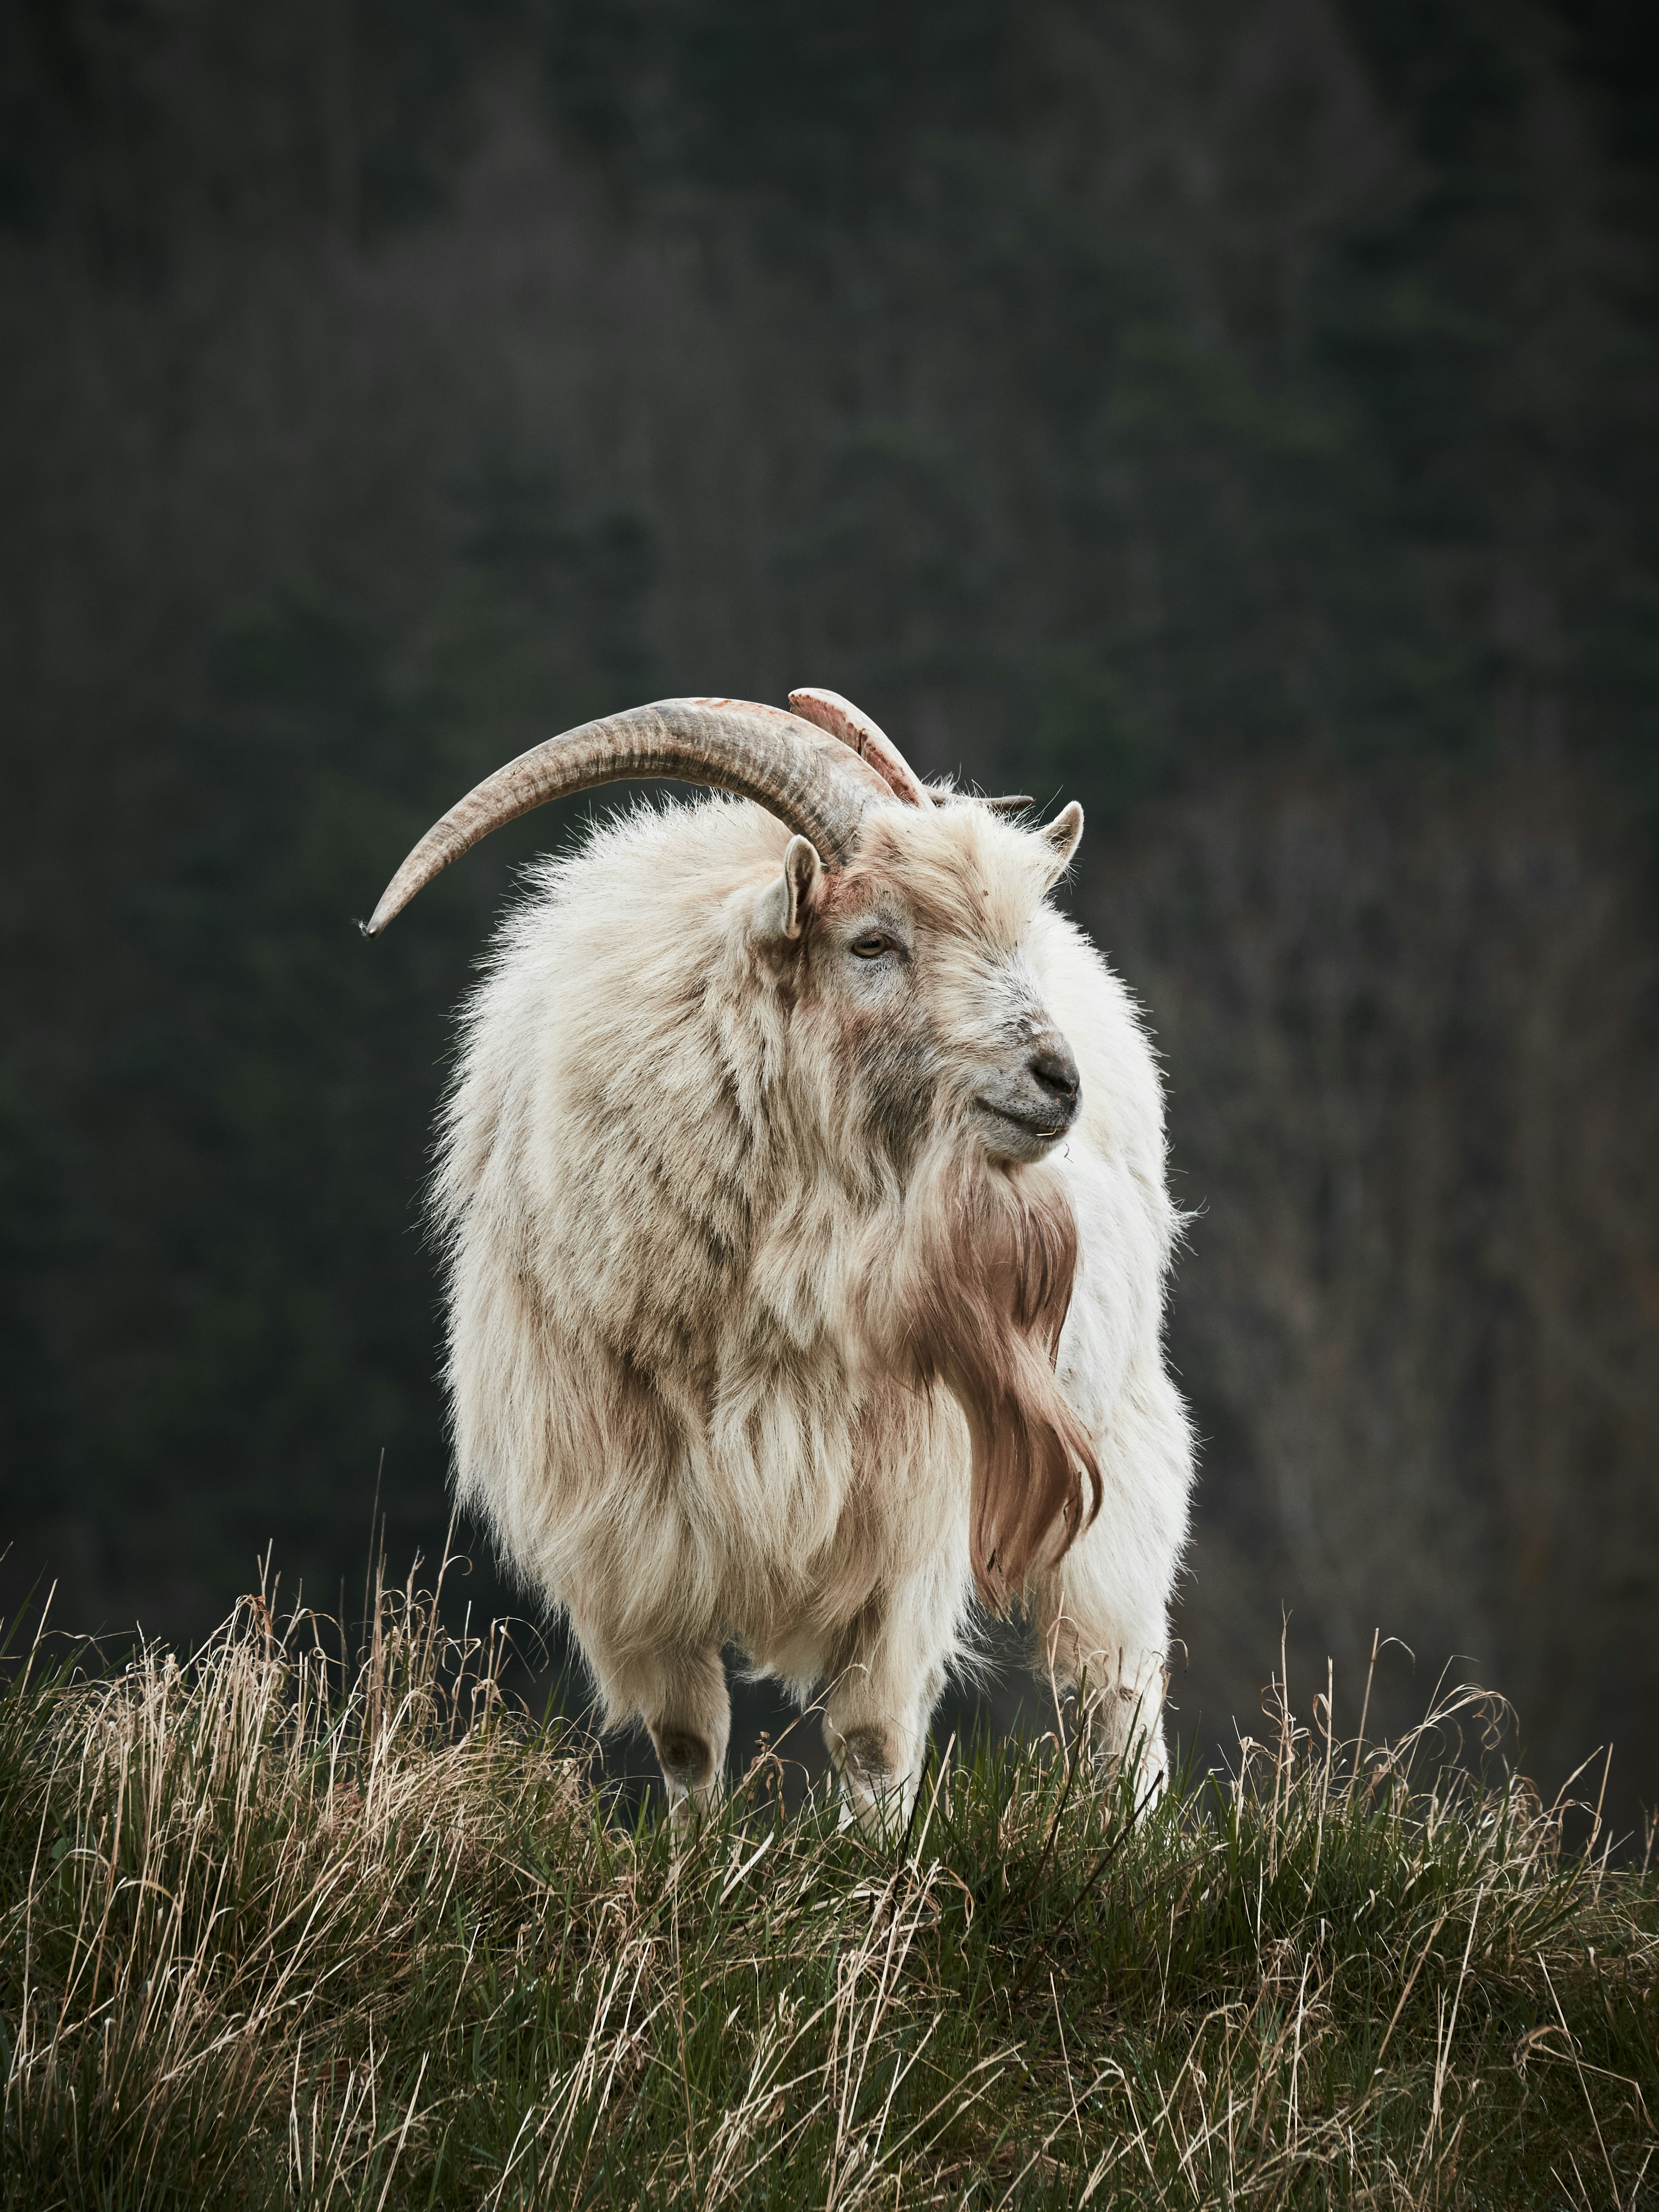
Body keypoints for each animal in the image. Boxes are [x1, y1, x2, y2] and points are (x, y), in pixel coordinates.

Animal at [367, 690, 1193, 1820]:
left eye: (1003, 934)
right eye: (872, 941)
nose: (1055, 1079)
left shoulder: (905, 1513)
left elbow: (873, 1744)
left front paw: (874, 1868)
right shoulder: (633, 1535)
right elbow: (686, 1741)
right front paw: (691, 1862)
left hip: (1115, 1425)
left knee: (1120, 1679)